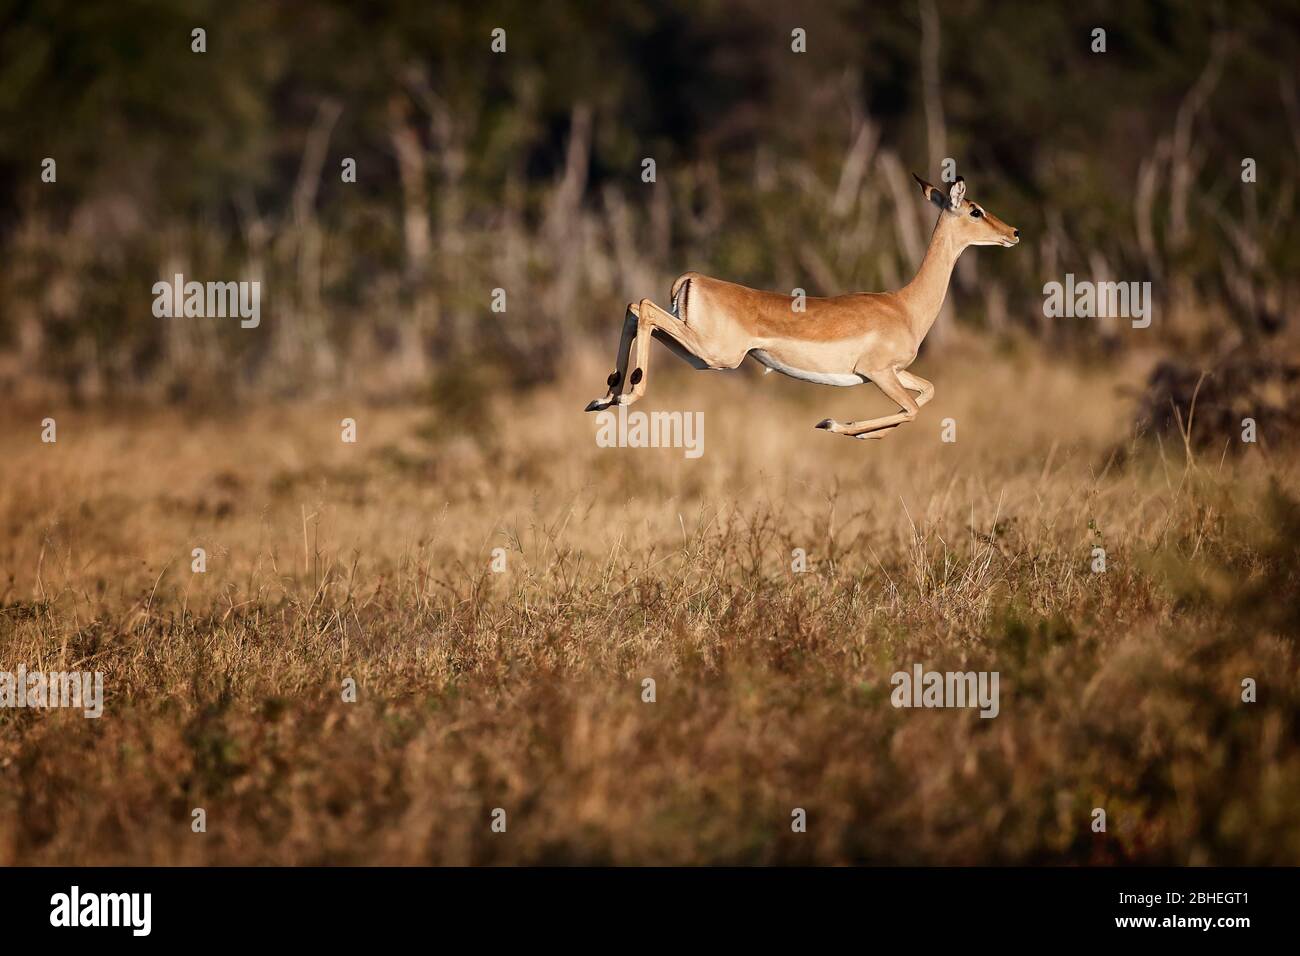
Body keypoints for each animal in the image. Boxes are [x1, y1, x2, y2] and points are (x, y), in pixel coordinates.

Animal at [585, 174, 1019, 439]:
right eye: (975, 210)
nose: (1013, 232)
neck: (904, 306)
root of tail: (691, 278)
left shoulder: (895, 372)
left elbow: (926, 393)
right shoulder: (878, 372)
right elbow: (912, 408)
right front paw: (831, 423)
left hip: (699, 355)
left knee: (635, 307)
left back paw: (604, 397)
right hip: (716, 355)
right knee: (642, 305)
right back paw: (625, 396)